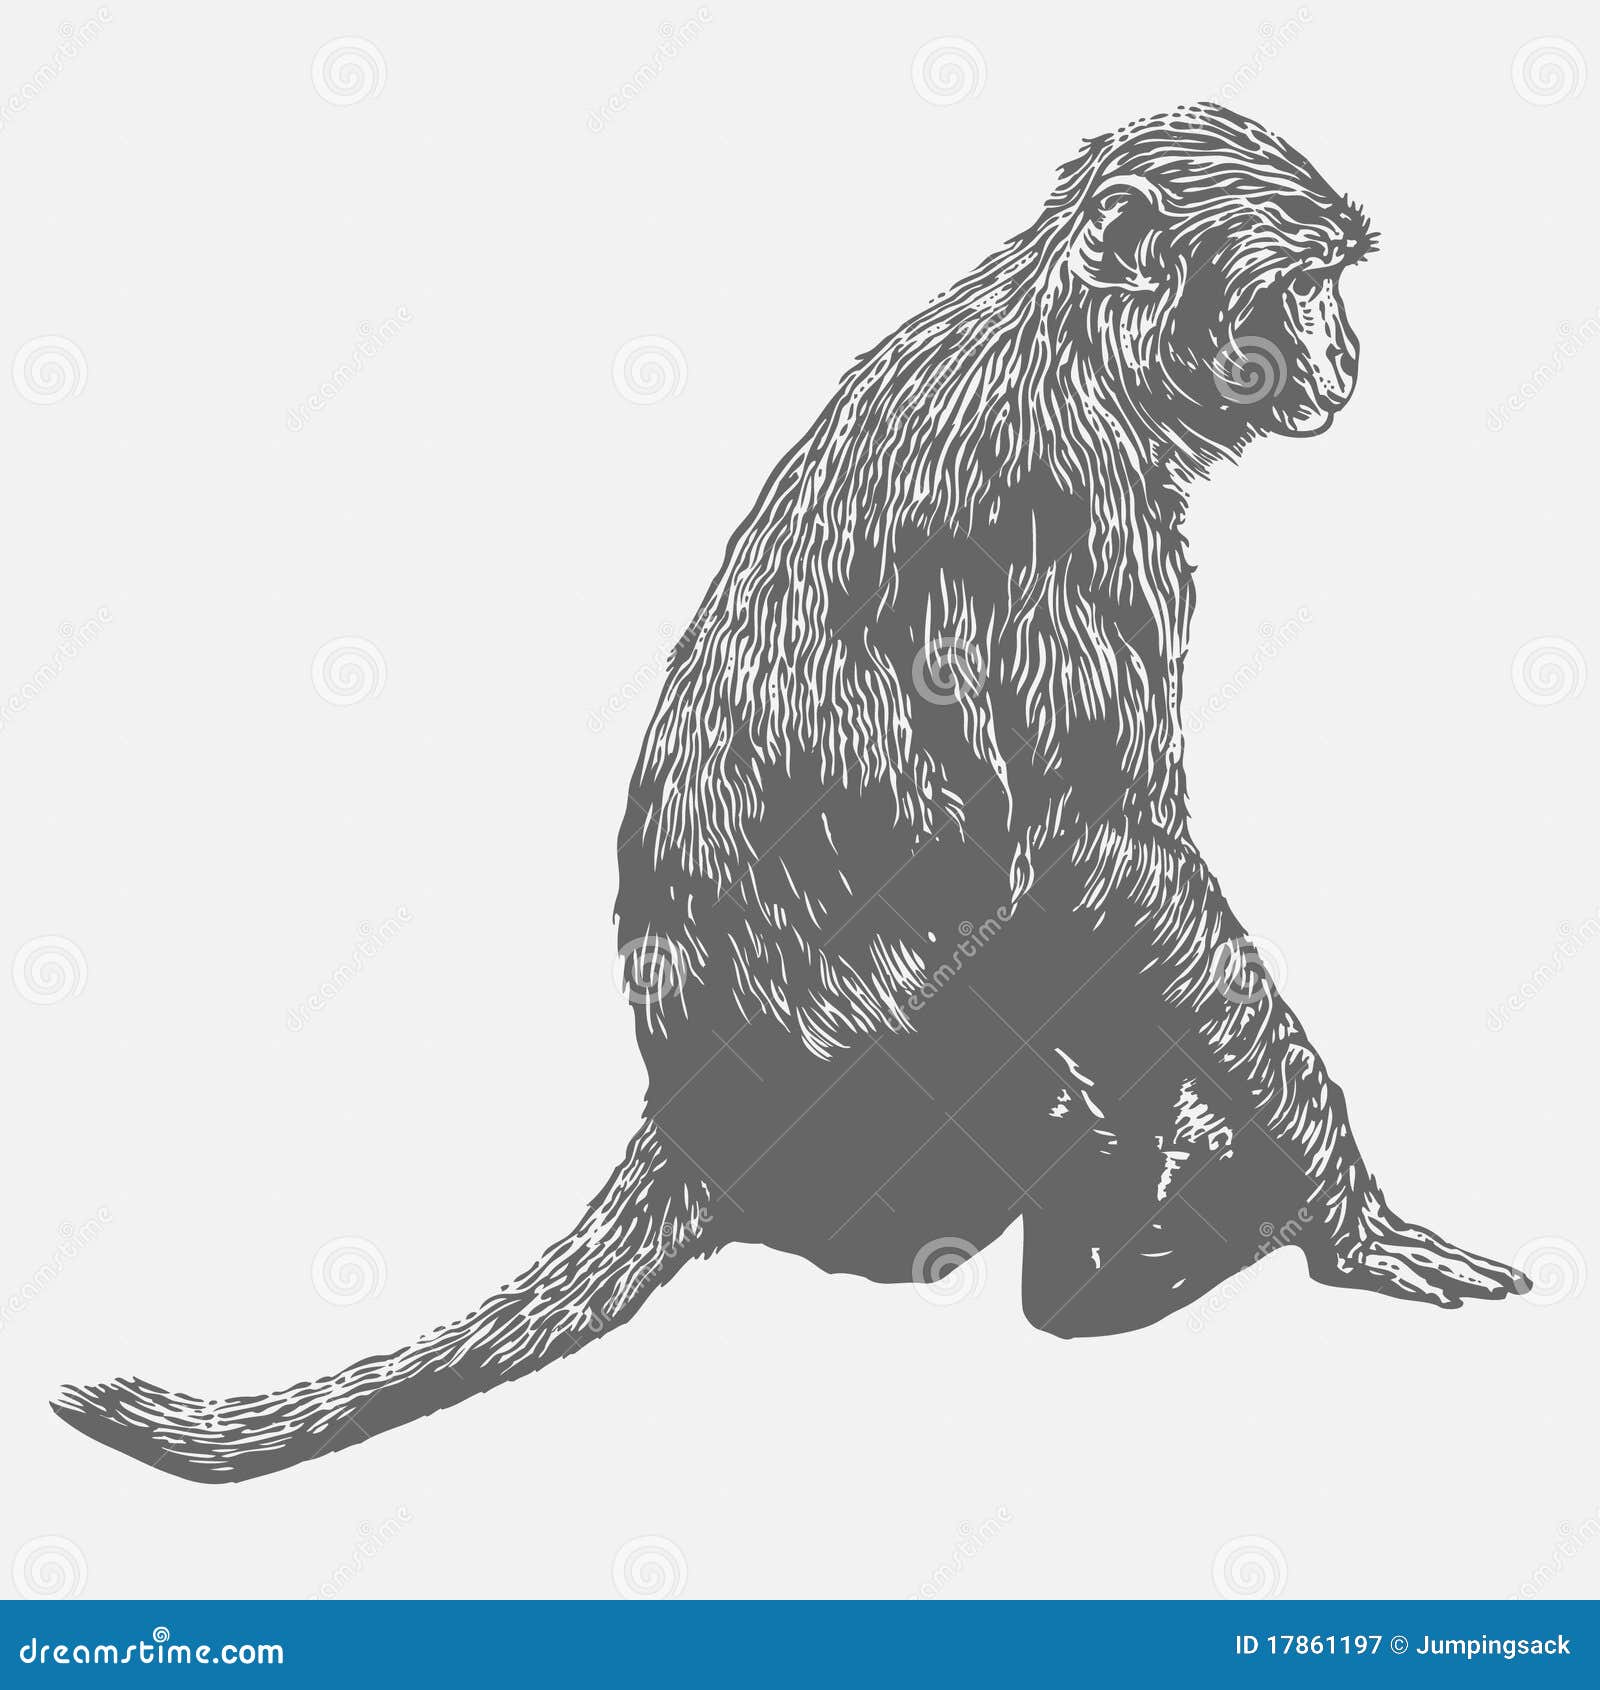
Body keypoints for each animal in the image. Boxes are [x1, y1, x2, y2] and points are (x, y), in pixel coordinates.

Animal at [54, 103, 1528, 1483]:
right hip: (904, 1115)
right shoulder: (1076, 513)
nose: (1346, 354)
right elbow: (1104, 854)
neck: (1067, 337)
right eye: (1302, 285)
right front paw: (1341, 1204)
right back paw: (1139, 1244)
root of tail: (687, 1119)